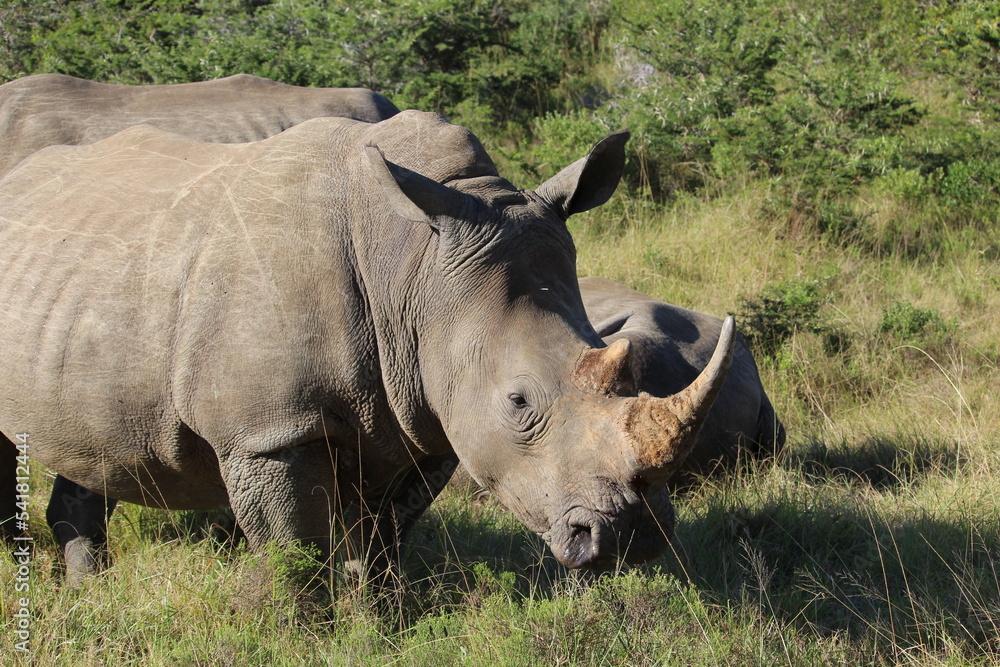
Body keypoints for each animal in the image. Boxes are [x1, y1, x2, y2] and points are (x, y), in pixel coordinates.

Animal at [0, 110, 734, 589]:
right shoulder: (269, 430)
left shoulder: (420, 416)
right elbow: (293, 554)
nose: (633, 538)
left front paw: (376, 619)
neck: (412, 269)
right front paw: (298, 635)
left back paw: (88, 589)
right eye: (518, 401)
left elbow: (381, 542)